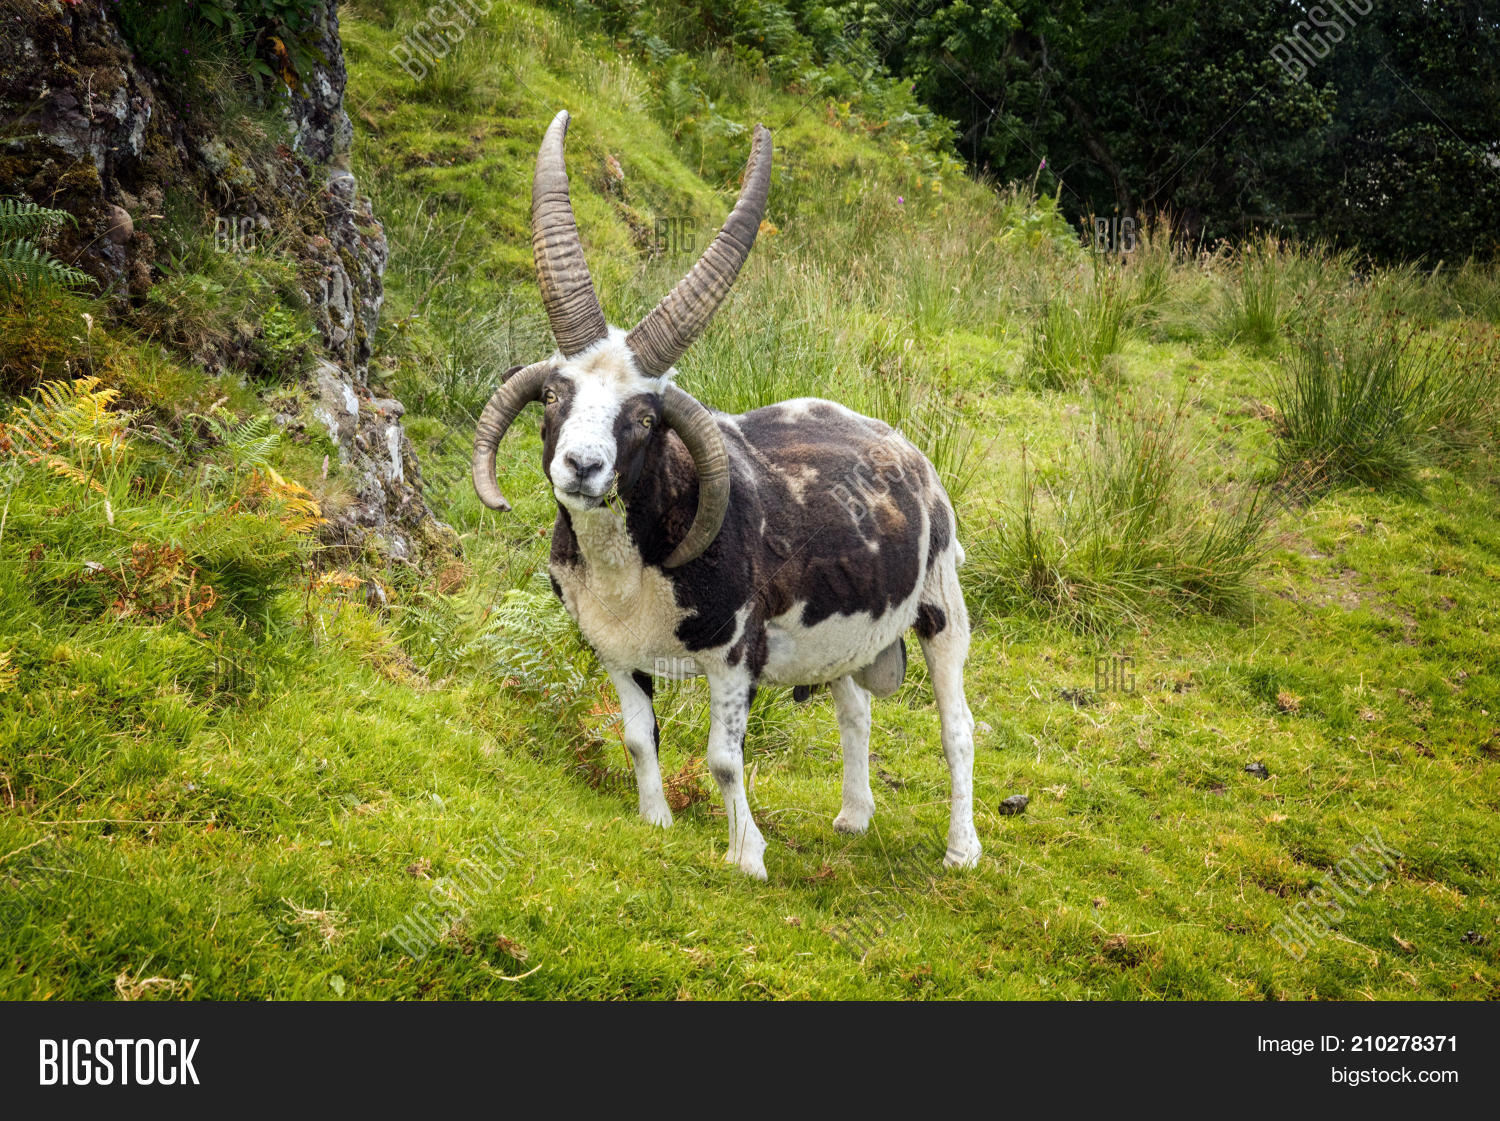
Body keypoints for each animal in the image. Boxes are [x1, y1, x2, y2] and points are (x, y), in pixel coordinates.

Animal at [473, 111, 979, 879]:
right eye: (556, 394)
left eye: (644, 417)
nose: (582, 467)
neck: (632, 570)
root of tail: (903, 446)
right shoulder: (615, 653)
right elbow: (637, 738)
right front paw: (655, 820)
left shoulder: (736, 653)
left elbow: (723, 760)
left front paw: (748, 857)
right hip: (843, 635)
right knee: (855, 711)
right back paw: (853, 817)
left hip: (942, 600)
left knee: (958, 727)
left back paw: (962, 849)